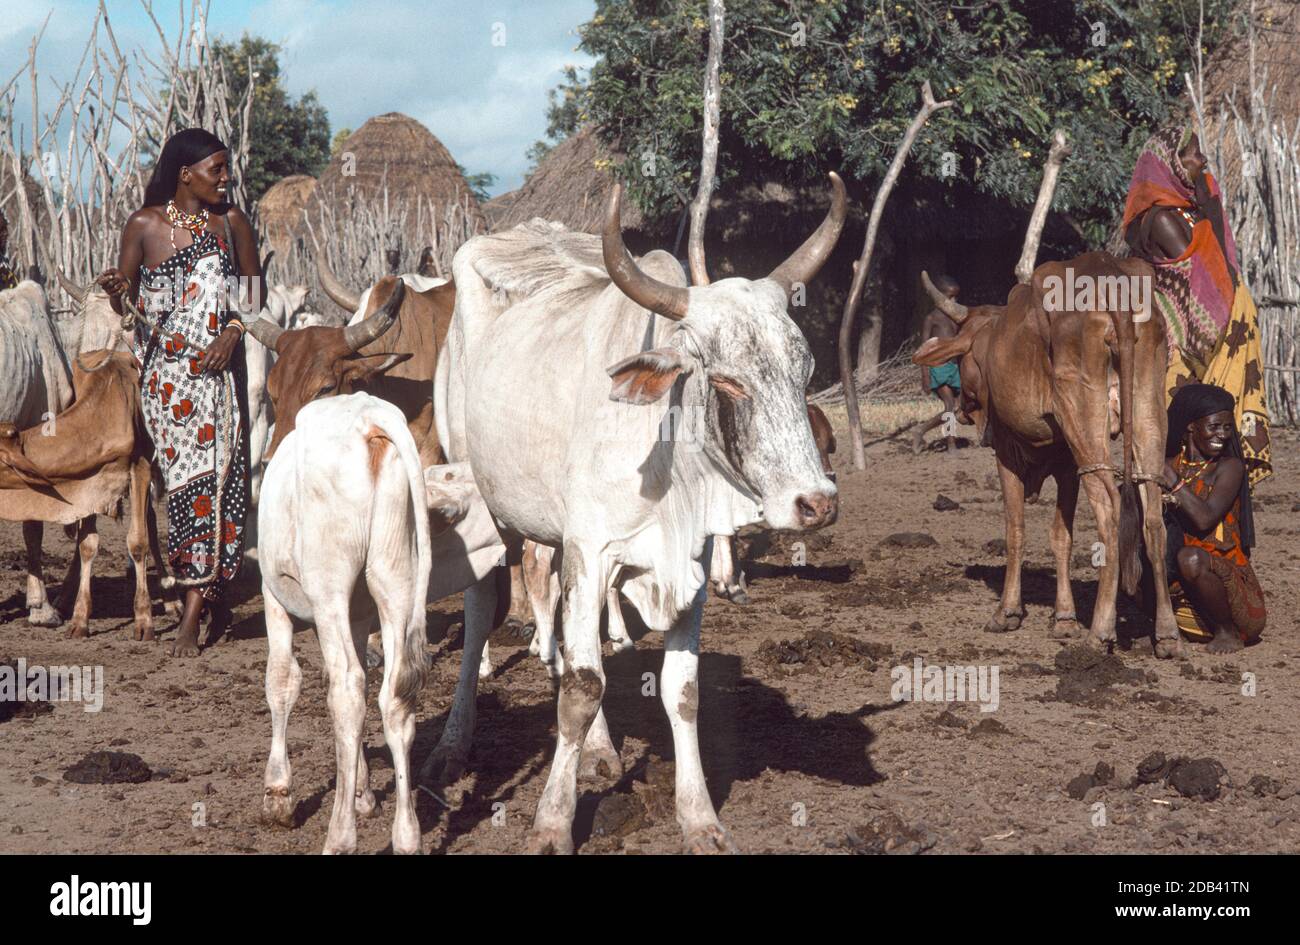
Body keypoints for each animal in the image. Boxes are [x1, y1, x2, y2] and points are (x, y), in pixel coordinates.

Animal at [0, 349, 155, 640]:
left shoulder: (140, 469)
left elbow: (138, 542)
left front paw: (144, 619)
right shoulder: (89, 487)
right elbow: (87, 546)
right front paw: (80, 618)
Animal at [256, 392, 505, 854]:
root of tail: (370, 420)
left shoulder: (274, 594)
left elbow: (282, 679)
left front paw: (278, 794)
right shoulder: (358, 616)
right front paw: (362, 790)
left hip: (331, 585)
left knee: (348, 690)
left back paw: (340, 836)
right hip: (396, 575)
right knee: (395, 696)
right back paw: (407, 835)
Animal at [426, 174, 845, 853]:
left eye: (803, 371)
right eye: (727, 382)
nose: (816, 503)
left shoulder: (685, 563)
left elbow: (681, 690)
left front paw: (699, 818)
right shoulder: (591, 549)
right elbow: (581, 687)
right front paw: (551, 822)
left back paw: (598, 749)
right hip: (482, 498)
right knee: (481, 614)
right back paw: (453, 744)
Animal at [912, 253, 1180, 657]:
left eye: (963, 360)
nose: (963, 409)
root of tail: (1112, 281)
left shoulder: (1006, 455)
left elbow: (1015, 530)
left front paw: (1007, 612)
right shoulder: (1067, 465)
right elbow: (1060, 536)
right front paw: (1064, 618)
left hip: (1084, 424)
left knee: (1111, 513)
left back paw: (1100, 631)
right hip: (1148, 414)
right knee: (1153, 518)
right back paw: (1166, 634)